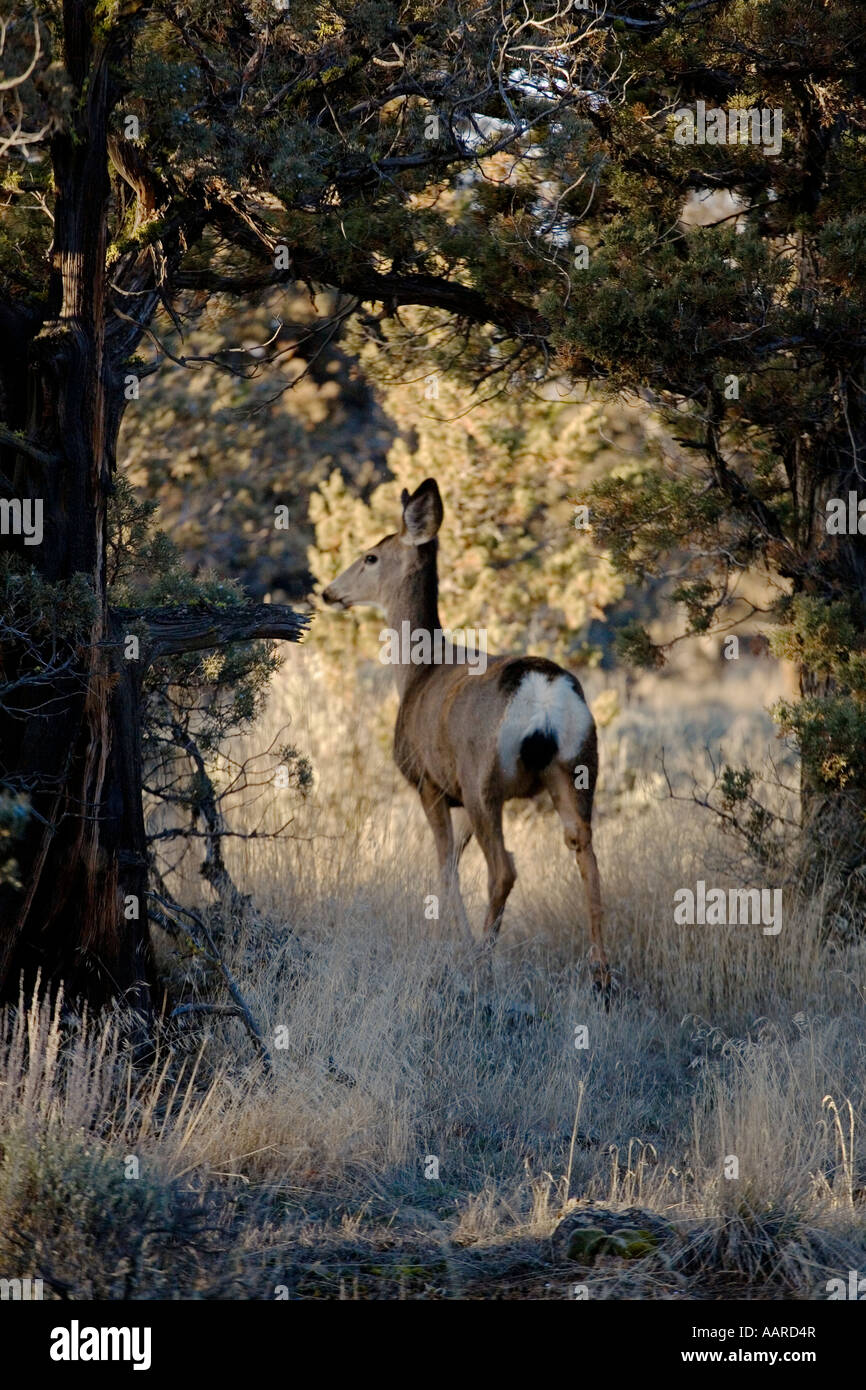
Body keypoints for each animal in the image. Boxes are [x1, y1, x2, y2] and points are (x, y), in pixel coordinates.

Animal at [321, 478, 610, 999]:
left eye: (370, 556)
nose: (329, 591)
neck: (417, 673)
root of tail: (543, 690)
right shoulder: (458, 791)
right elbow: (455, 859)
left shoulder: (430, 782)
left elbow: (445, 865)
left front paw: (447, 942)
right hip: (576, 766)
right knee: (585, 849)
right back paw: (601, 973)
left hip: (484, 776)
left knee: (504, 869)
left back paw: (481, 963)